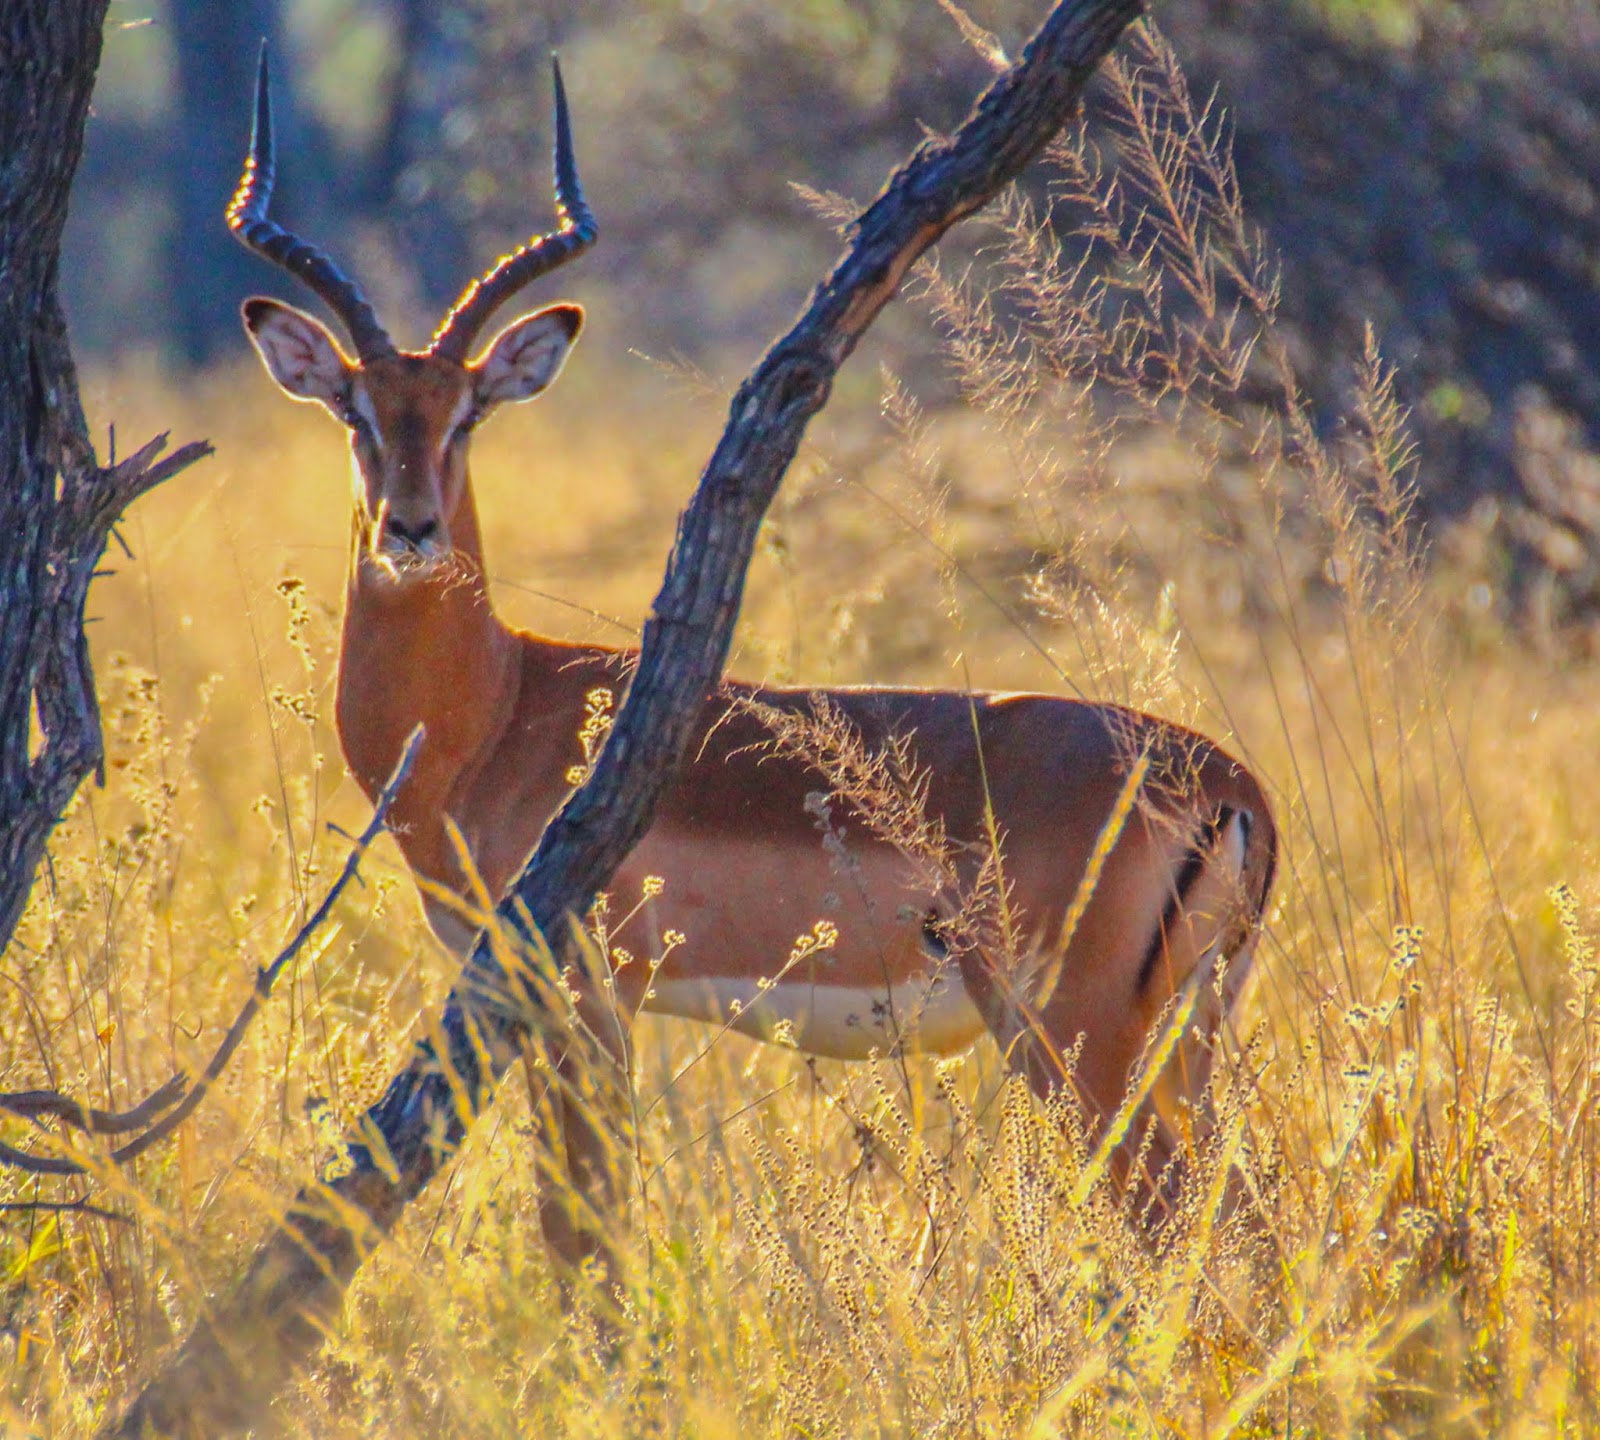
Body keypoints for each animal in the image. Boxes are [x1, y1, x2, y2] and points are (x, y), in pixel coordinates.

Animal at [229, 53, 1276, 1261]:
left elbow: (581, 1222)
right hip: (1184, 1043)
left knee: (1173, 1215)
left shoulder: (583, 996)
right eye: (355, 409)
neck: (491, 716)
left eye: (466, 414)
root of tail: (1231, 784)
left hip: (1076, 1037)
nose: (409, 530)